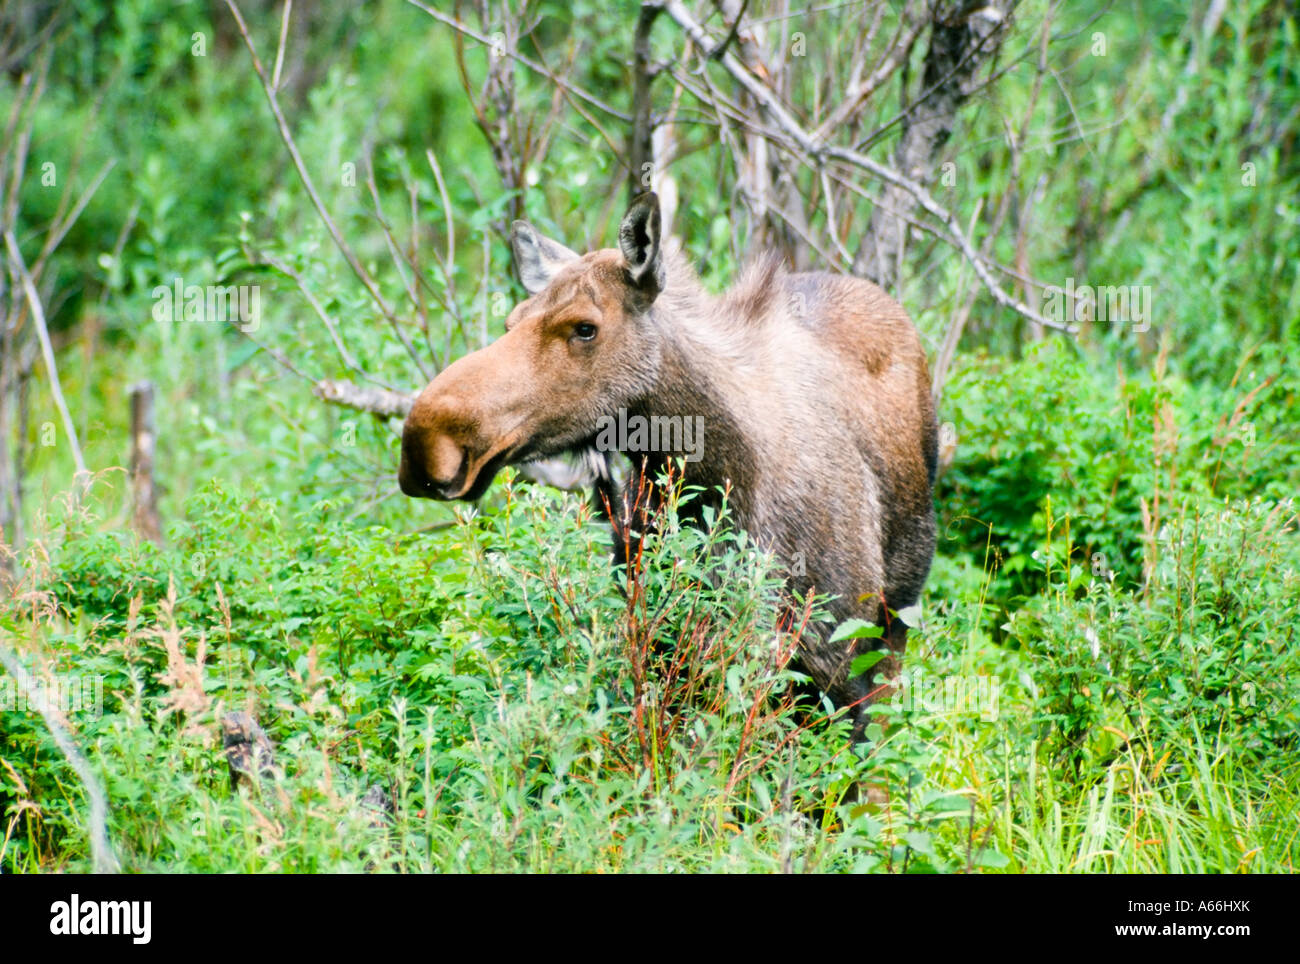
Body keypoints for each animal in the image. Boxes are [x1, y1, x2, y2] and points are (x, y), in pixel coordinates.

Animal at [399, 192, 938, 738]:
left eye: (585, 327)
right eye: (511, 321)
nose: (426, 445)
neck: (724, 486)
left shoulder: (836, 664)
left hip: (896, 615)